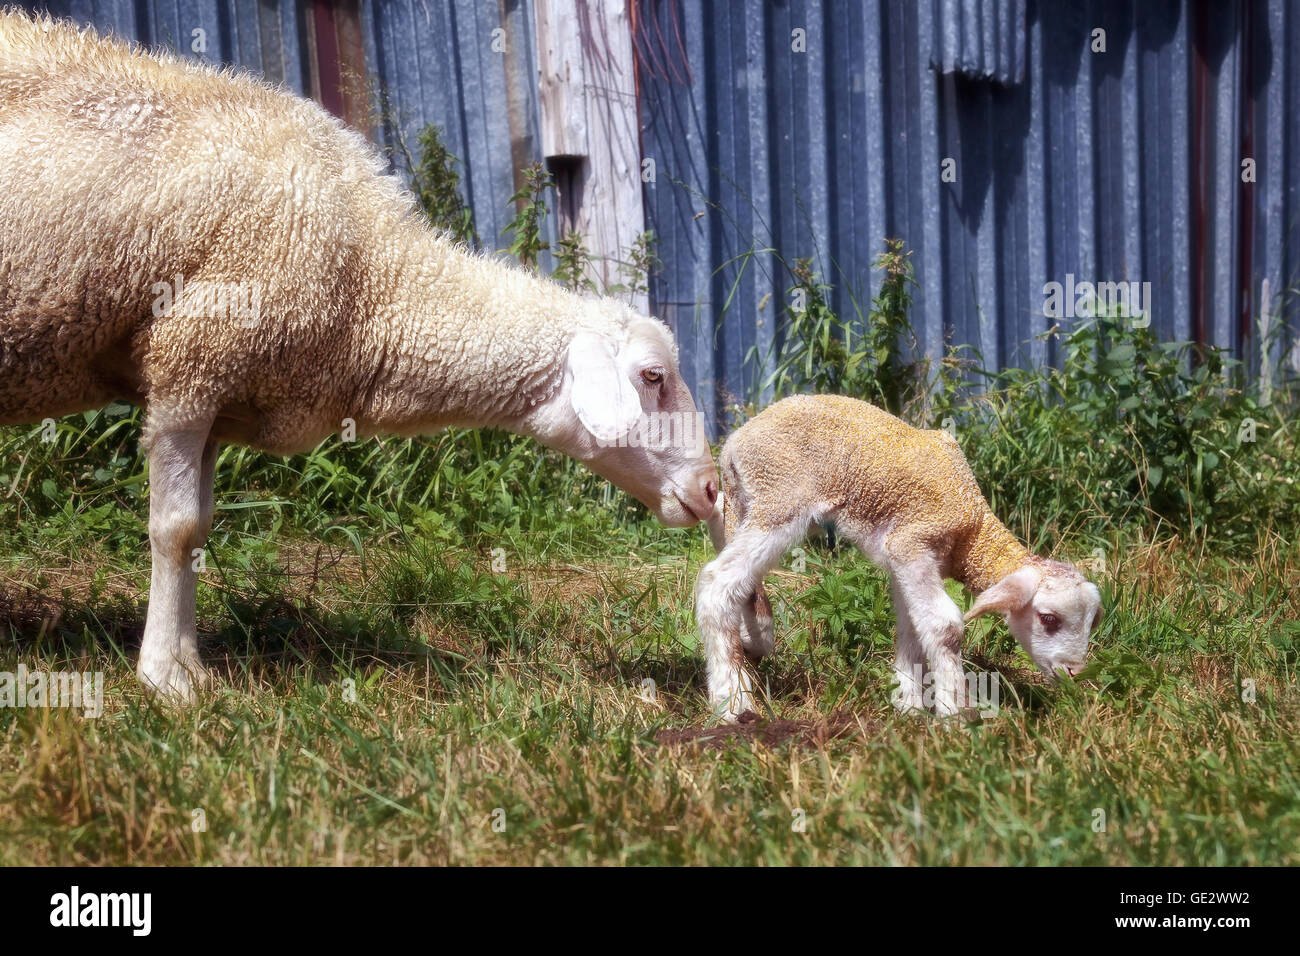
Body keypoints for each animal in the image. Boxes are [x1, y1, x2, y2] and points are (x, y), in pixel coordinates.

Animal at [0, 11, 718, 699]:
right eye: (652, 376)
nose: (712, 488)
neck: (372, 283)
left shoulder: (219, 391)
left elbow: (198, 529)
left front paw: (190, 665)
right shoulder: (190, 363)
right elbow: (174, 530)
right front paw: (164, 679)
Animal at [697, 394, 1102, 721]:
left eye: (1092, 622)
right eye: (1048, 618)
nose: (1073, 673)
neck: (973, 530)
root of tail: (734, 444)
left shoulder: (905, 560)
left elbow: (912, 628)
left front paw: (909, 707)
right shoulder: (913, 543)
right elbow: (945, 626)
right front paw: (957, 715)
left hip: (749, 503)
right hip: (780, 498)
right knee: (718, 582)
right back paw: (733, 702)